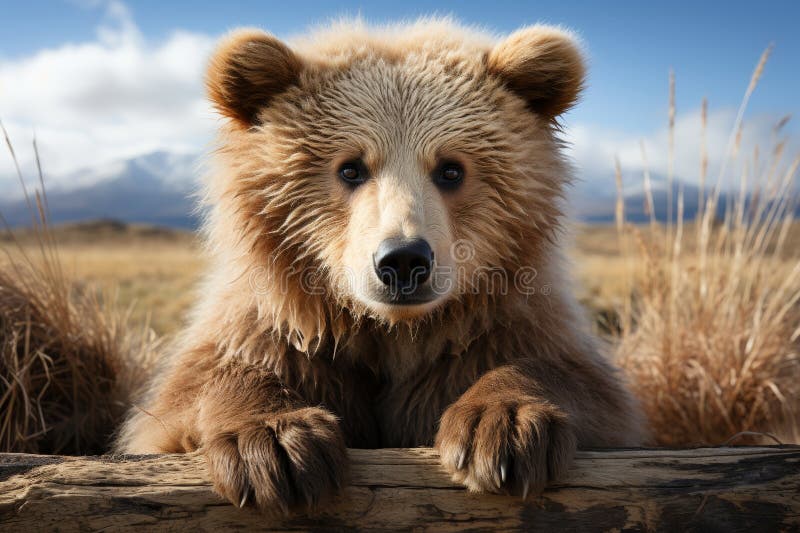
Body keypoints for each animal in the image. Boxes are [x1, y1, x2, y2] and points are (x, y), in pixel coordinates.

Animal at [116, 18, 645, 513]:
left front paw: (503, 429)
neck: (389, 332)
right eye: (351, 167)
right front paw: (275, 444)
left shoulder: (498, 324)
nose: (404, 260)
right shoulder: (278, 329)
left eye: (451, 169)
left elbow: (572, 377)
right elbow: (199, 387)